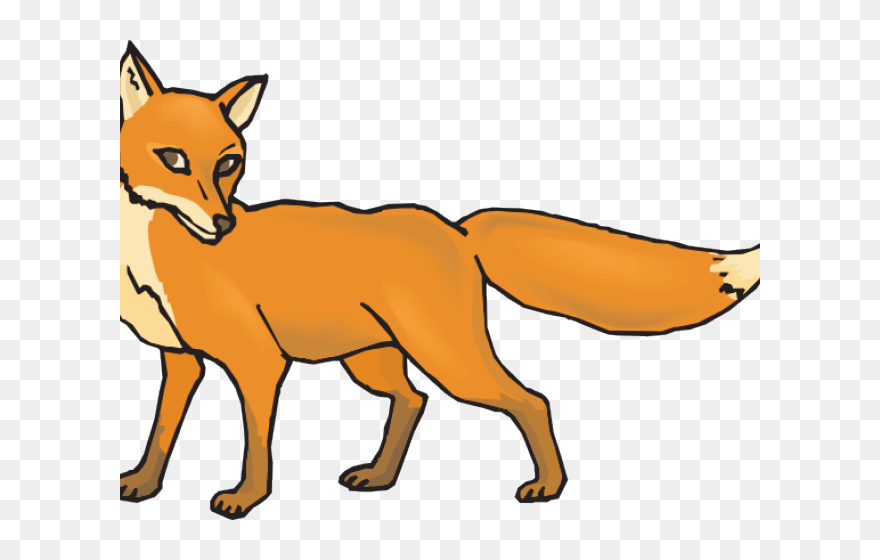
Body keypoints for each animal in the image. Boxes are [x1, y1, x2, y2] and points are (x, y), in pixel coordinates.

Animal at [119, 41, 760, 519]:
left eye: (229, 161)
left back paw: (548, 487)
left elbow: (256, 443)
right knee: (413, 399)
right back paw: (381, 476)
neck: (153, 260)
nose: (224, 224)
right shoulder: (180, 361)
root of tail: (455, 227)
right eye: (174, 158)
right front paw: (143, 484)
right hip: (373, 361)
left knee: (530, 400)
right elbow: (161, 431)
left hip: (448, 358)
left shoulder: (258, 361)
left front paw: (246, 499)